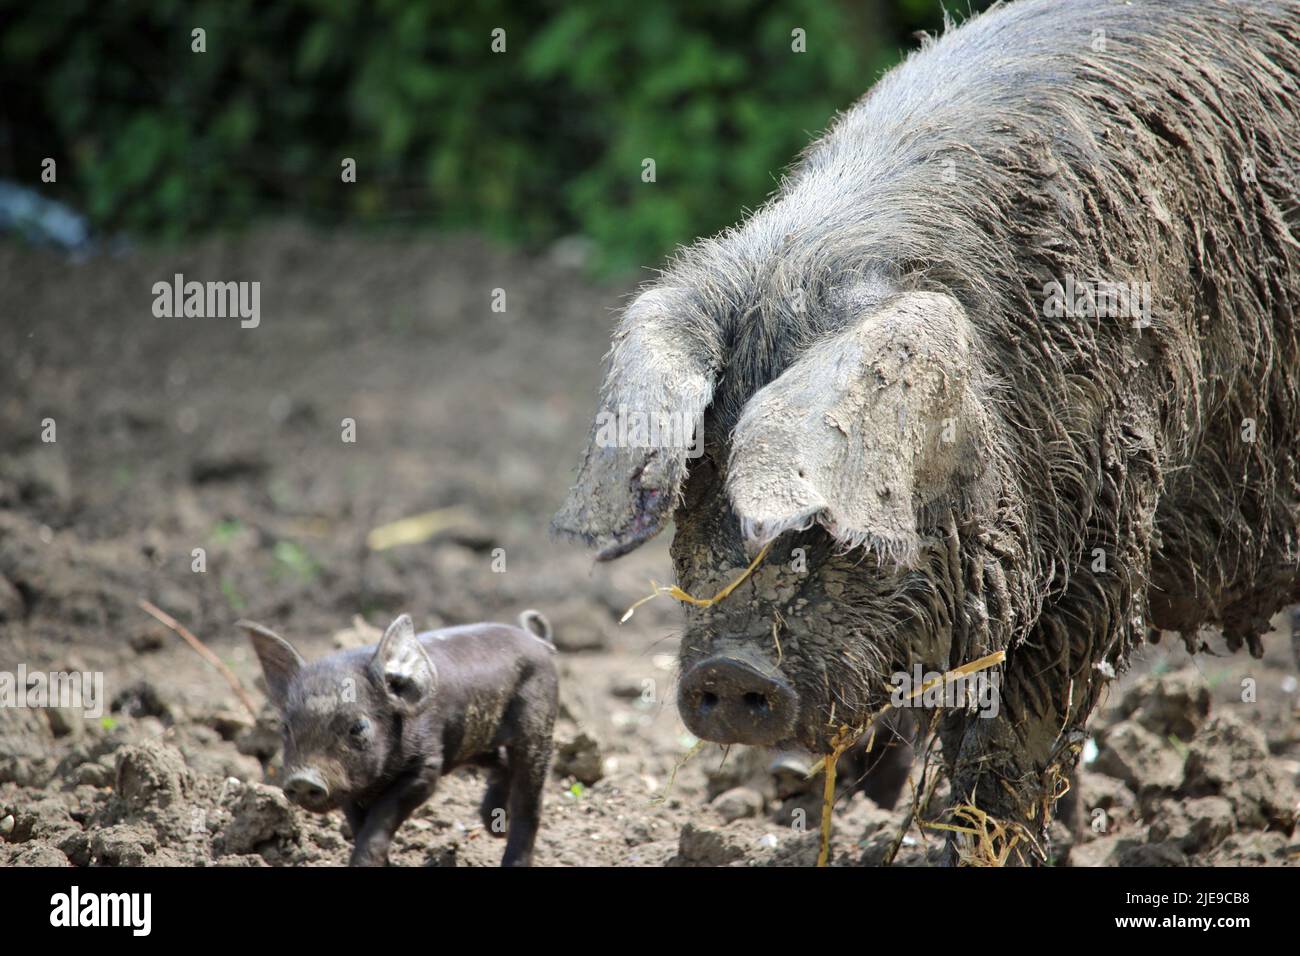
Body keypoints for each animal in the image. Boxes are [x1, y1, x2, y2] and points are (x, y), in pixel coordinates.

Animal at [240, 611, 558, 867]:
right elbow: (358, 824)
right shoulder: (349, 786)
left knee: (529, 801)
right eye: (286, 727)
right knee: (501, 763)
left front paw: (363, 863)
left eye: (358, 727)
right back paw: (492, 824)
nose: (304, 779)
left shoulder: (427, 766)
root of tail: (538, 641)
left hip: (538, 726)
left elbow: (382, 816)